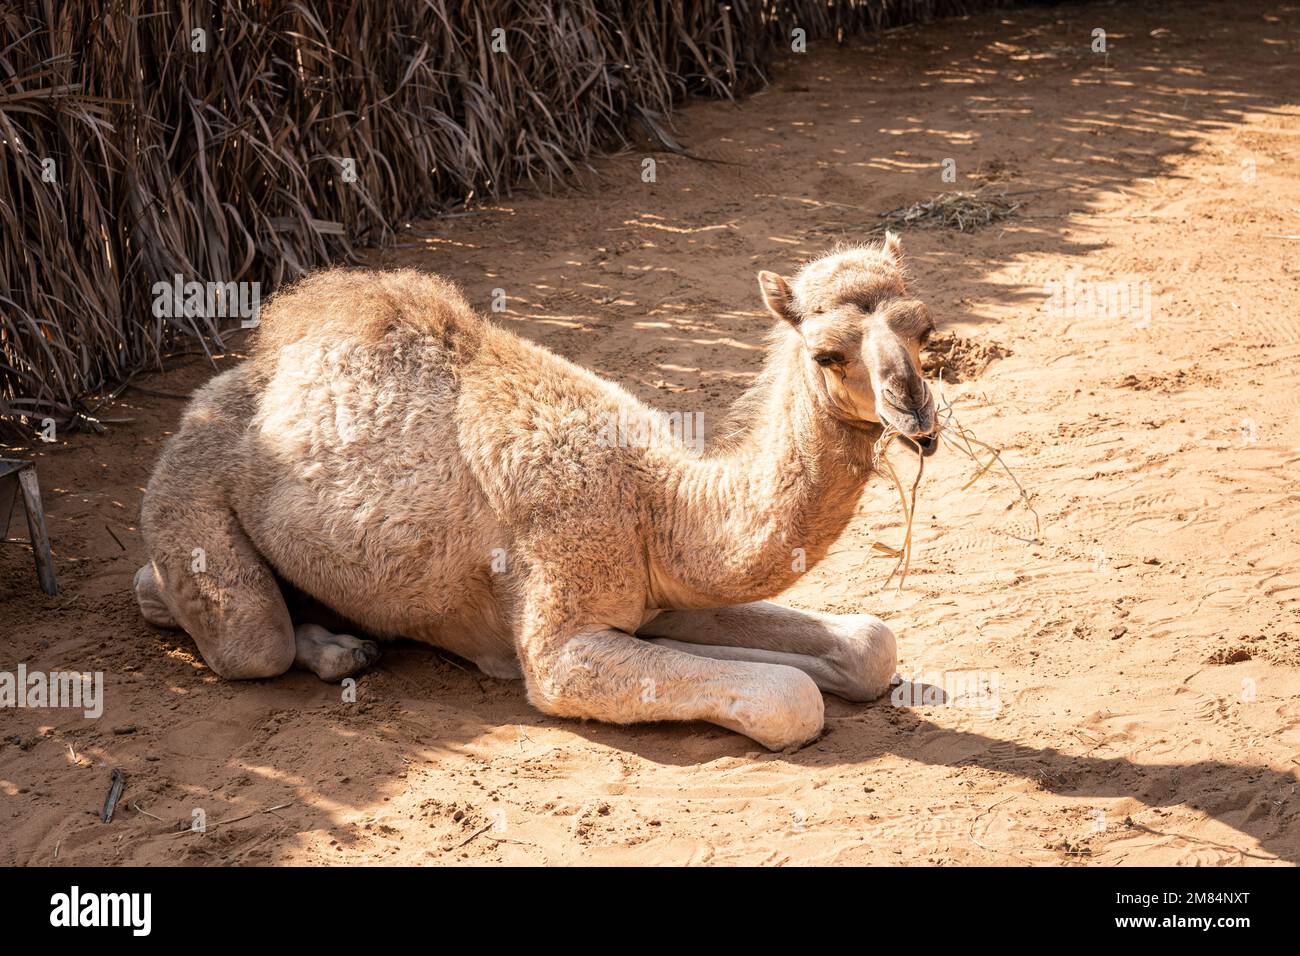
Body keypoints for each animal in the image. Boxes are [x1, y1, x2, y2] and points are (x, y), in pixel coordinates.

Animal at [134, 233, 938, 751]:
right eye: (826, 353)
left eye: (925, 330)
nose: (916, 414)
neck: (658, 504)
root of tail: (224, 385)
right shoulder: (562, 630)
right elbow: (789, 699)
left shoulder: (658, 591)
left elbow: (870, 644)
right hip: (188, 486)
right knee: (239, 634)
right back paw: (330, 650)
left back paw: (346, 645)